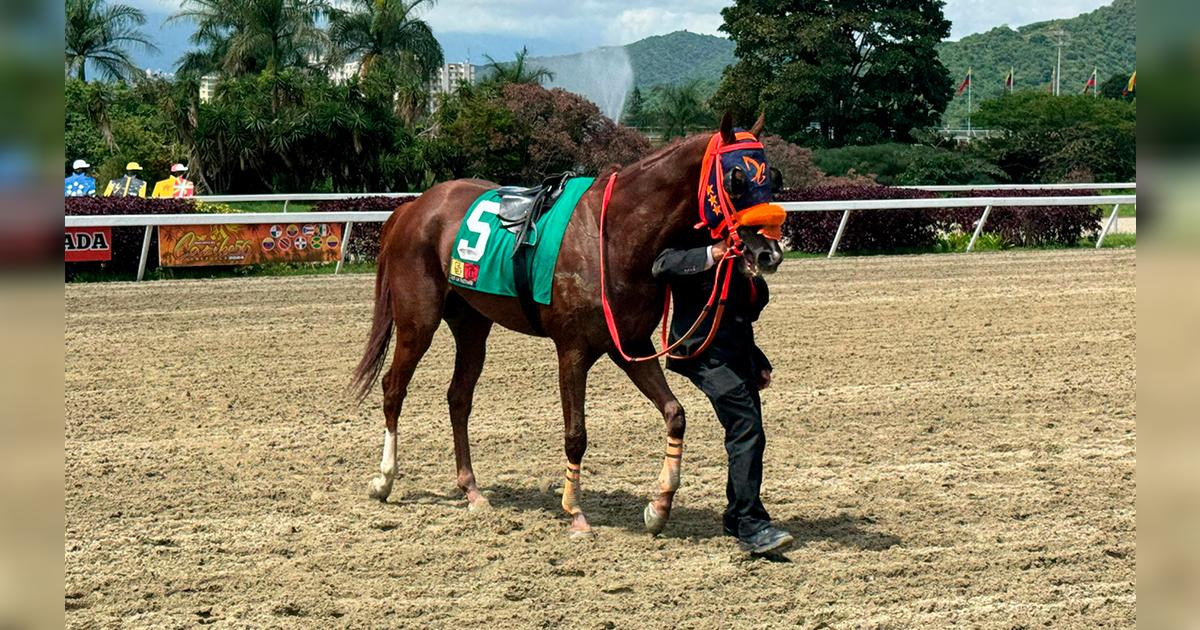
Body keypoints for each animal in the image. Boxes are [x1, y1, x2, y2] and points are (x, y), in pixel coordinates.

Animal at [351, 113, 785, 537]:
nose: (770, 253)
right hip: (417, 323)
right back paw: (384, 480)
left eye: (774, 178)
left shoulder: (630, 345)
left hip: (472, 324)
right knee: (393, 389)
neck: (613, 235)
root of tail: (412, 208)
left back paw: (471, 490)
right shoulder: (572, 351)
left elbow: (674, 413)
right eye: (736, 179)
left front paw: (659, 507)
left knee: (459, 397)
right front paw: (575, 512)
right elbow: (576, 435)